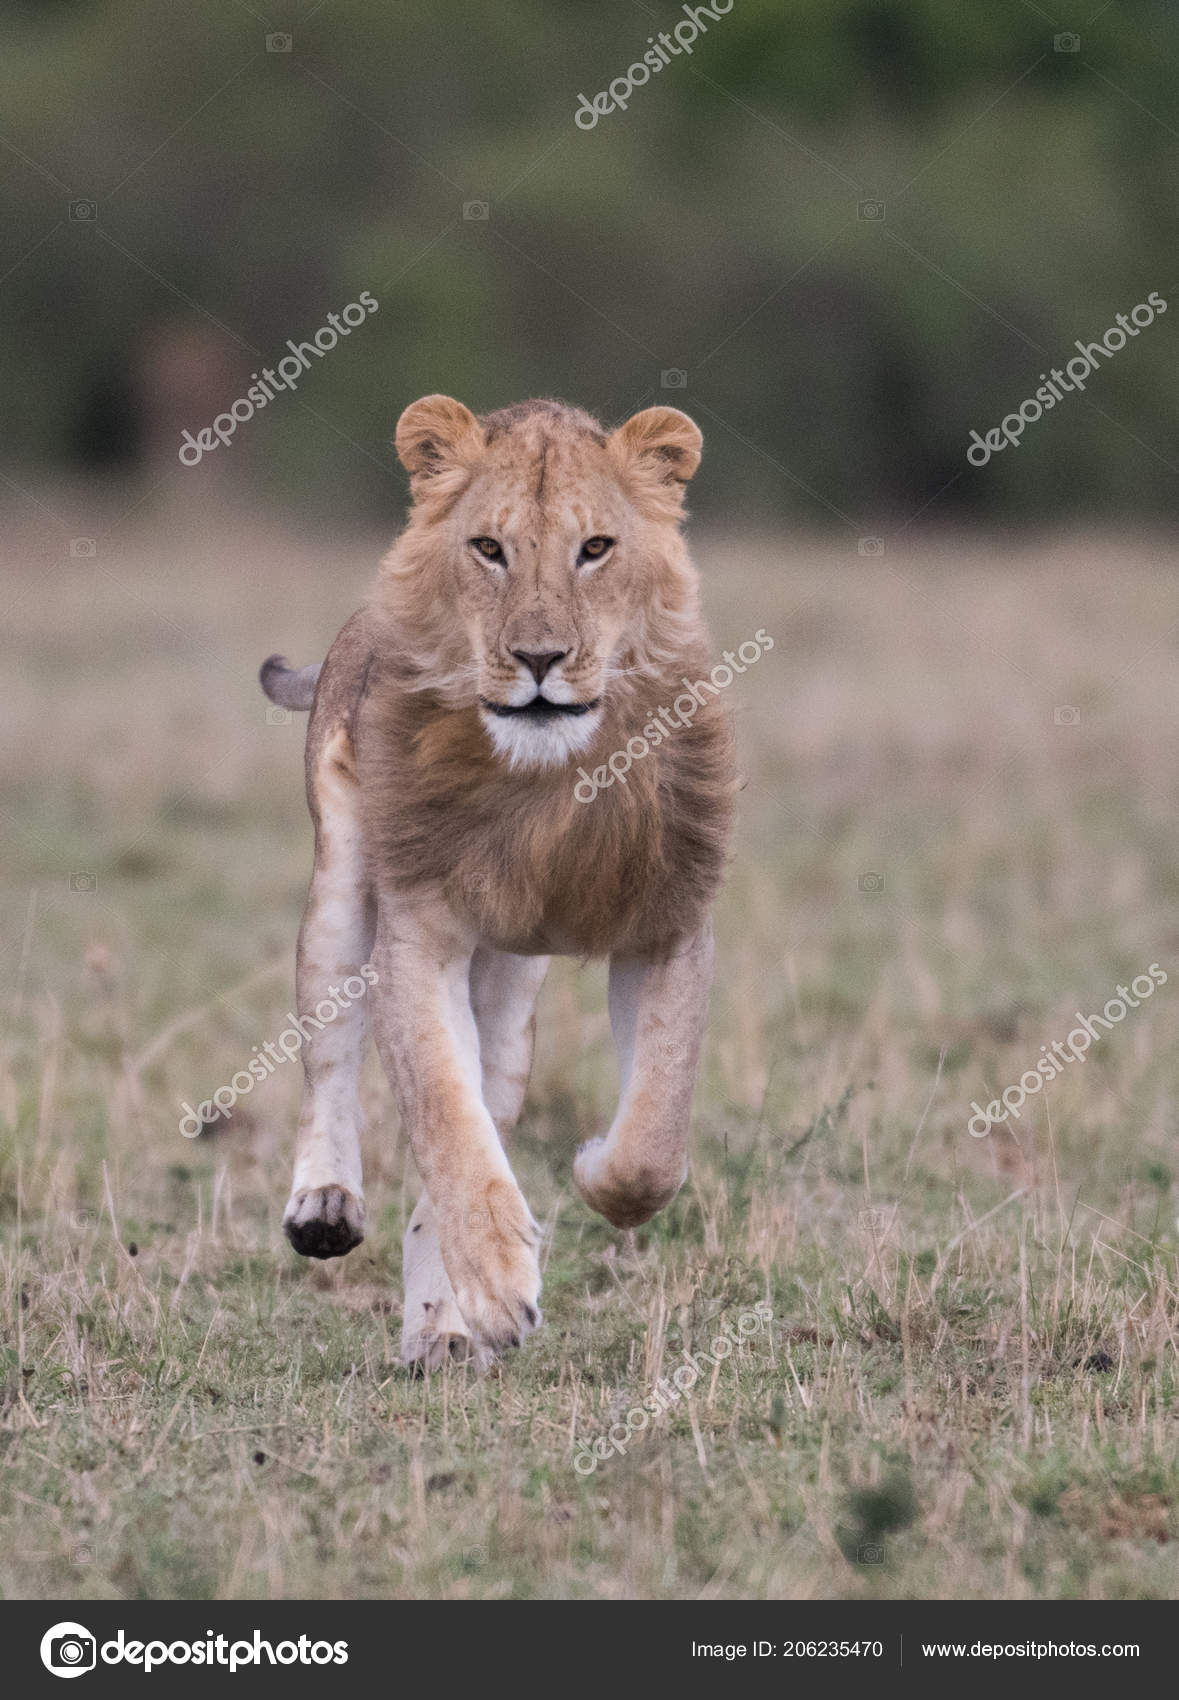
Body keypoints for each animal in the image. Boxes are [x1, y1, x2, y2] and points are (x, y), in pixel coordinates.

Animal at [260, 395, 735, 1369]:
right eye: (488, 548)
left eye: (596, 548)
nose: (540, 658)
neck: (547, 782)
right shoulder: (416, 931)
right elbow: (442, 1112)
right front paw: (497, 1280)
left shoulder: (667, 918)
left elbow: (652, 1137)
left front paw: (589, 1166)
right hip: (338, 893)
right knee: (331, 1057)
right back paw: (326, 1208)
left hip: (510, 996)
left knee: (482, 1112)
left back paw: (441, 1330)